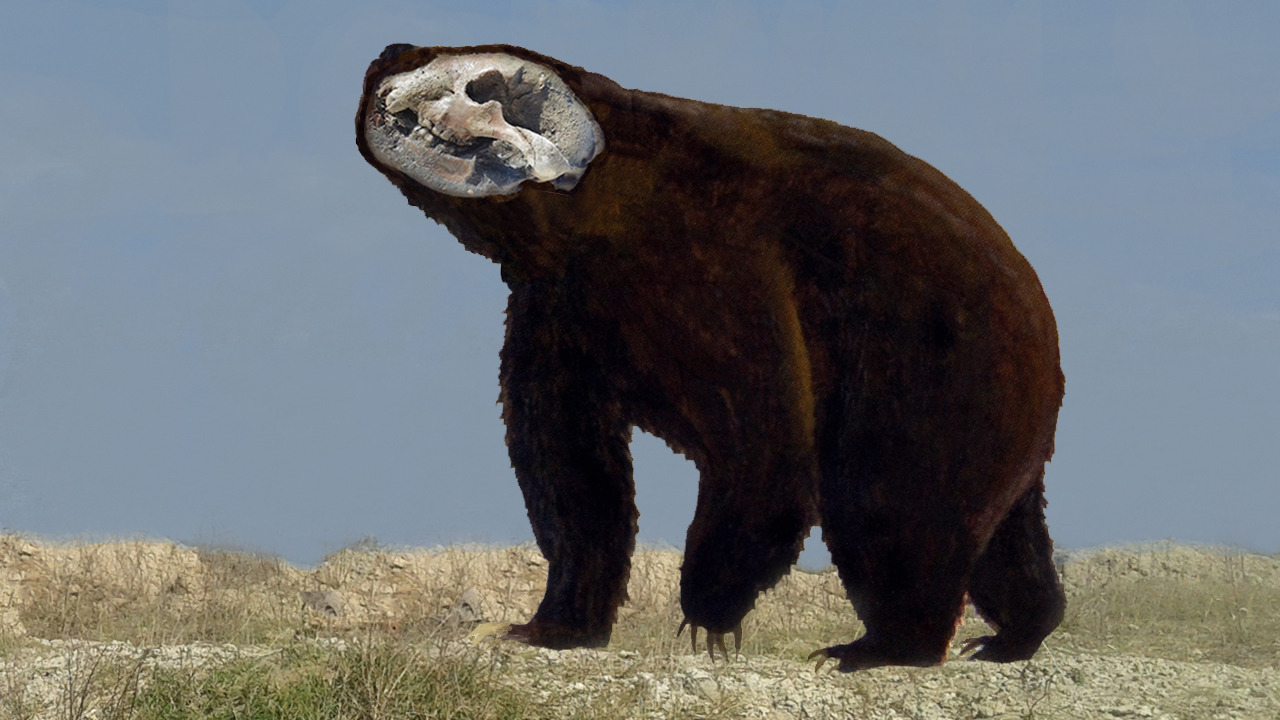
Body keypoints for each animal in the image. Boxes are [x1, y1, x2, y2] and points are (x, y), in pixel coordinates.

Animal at [355, 43, 1065, 672]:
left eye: (451, 81)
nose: (384, 55)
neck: (597, 208)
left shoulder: (712, 263)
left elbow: (761, 442)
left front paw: (708, 614)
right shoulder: (561, 308)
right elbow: (570, 469)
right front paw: (548, 625)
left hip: (934, 366)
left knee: (892, 499)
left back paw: (878, 647)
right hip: (997, 407)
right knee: (1003, 530)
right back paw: (1011, 634)